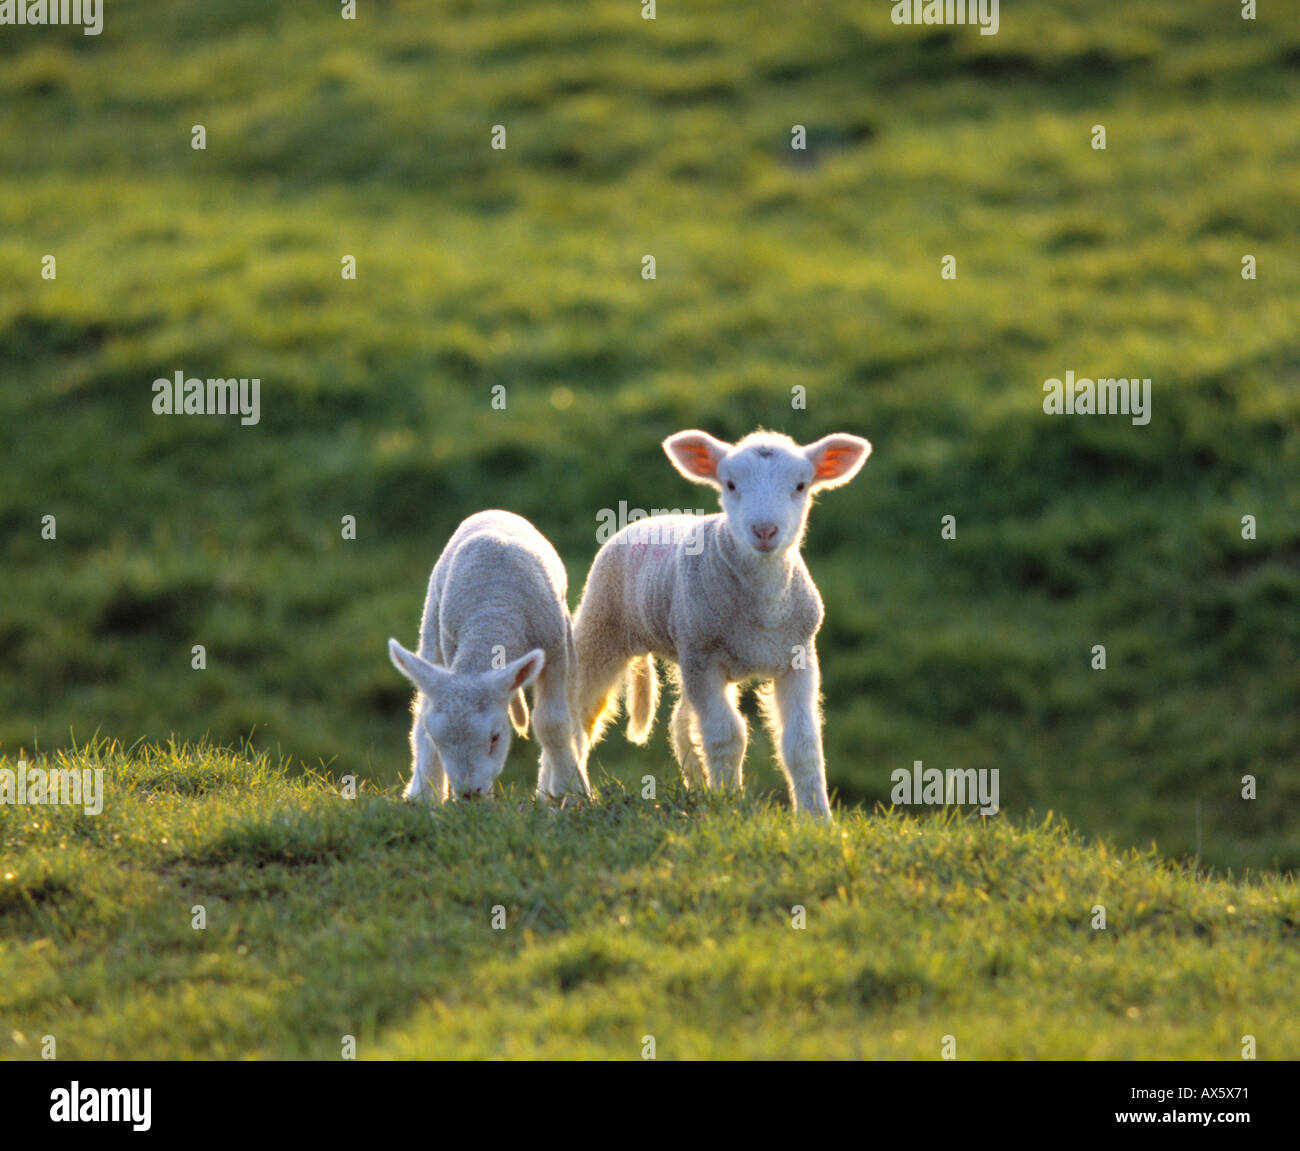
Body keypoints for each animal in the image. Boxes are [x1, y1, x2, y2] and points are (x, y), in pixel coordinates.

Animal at [388, 510, 590, 803]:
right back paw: (424, 795)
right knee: (423, 709)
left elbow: (552, 722)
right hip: (433, 627)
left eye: (495, 737)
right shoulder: (452, 646)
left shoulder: (555, 650)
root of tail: (494, 511)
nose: (469, 794)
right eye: (439, 740)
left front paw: (569, 790)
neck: (494, 610)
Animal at [572, 429, 871, 818]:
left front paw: (816, 818)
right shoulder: (704, 658)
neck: (763, 611)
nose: (764, 531)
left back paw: (697, 786)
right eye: (730, 484)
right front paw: (730, 805)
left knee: (681, 722)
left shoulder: (798, 657)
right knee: (578, 716)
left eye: (800, 485)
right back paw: (564, 793)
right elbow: (726, 736)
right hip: (601, 628)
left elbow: (802, 743)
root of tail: (644, 520)